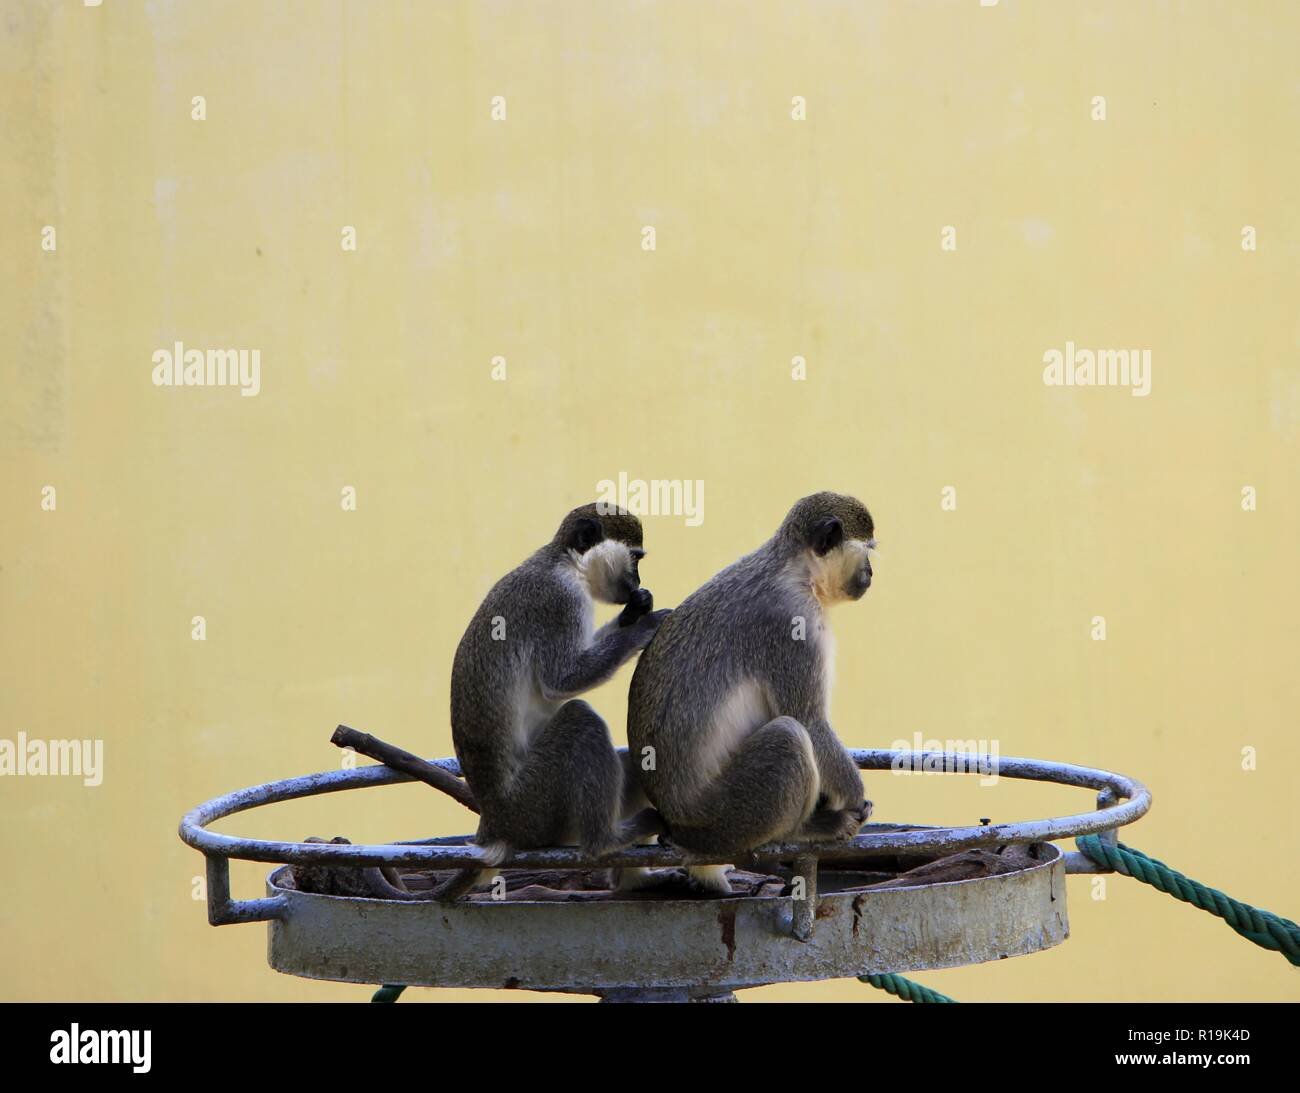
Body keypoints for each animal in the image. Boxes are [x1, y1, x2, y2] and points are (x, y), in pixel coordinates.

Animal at [450, 503, 670, 882]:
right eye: (635, 559)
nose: (639, 583)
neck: (567, 562)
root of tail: (494, 823)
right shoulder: (560, 601)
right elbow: (561, 679)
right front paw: (642, 626)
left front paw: (636, 610)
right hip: (534, 803)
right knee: (580, 720)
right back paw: (605, 841)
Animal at [626, 491, 875, 894]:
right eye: (867, 550)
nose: (871, 574)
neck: (795, 570)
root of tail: (678, 826)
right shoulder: (794, 625)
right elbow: (810, 720)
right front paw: (855, 798)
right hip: (727, 817)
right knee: (790, 735)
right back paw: (804, 829)